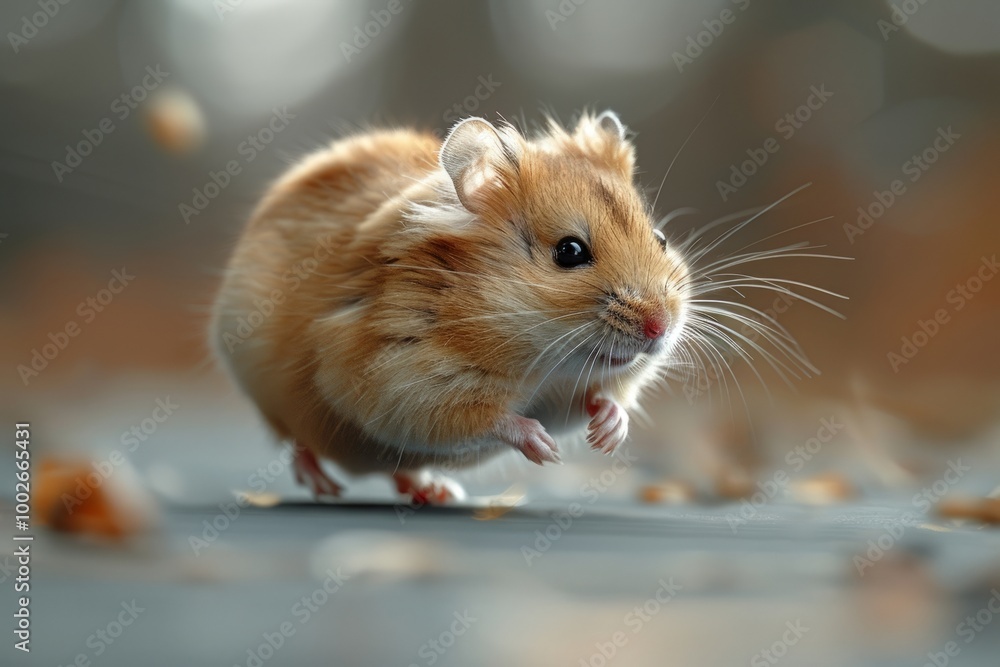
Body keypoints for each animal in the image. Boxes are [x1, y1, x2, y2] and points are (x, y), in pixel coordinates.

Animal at [210, 111, 690, 502]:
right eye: (569, 252)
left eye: (660, 239)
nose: (660, 328)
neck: (541, 365)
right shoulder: (403, 383)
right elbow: (486, 419)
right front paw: (545, 448)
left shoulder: (569, 395)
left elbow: (604, 398)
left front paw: (607, 435)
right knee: (295, 439)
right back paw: (323, 485)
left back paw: (438, 491)